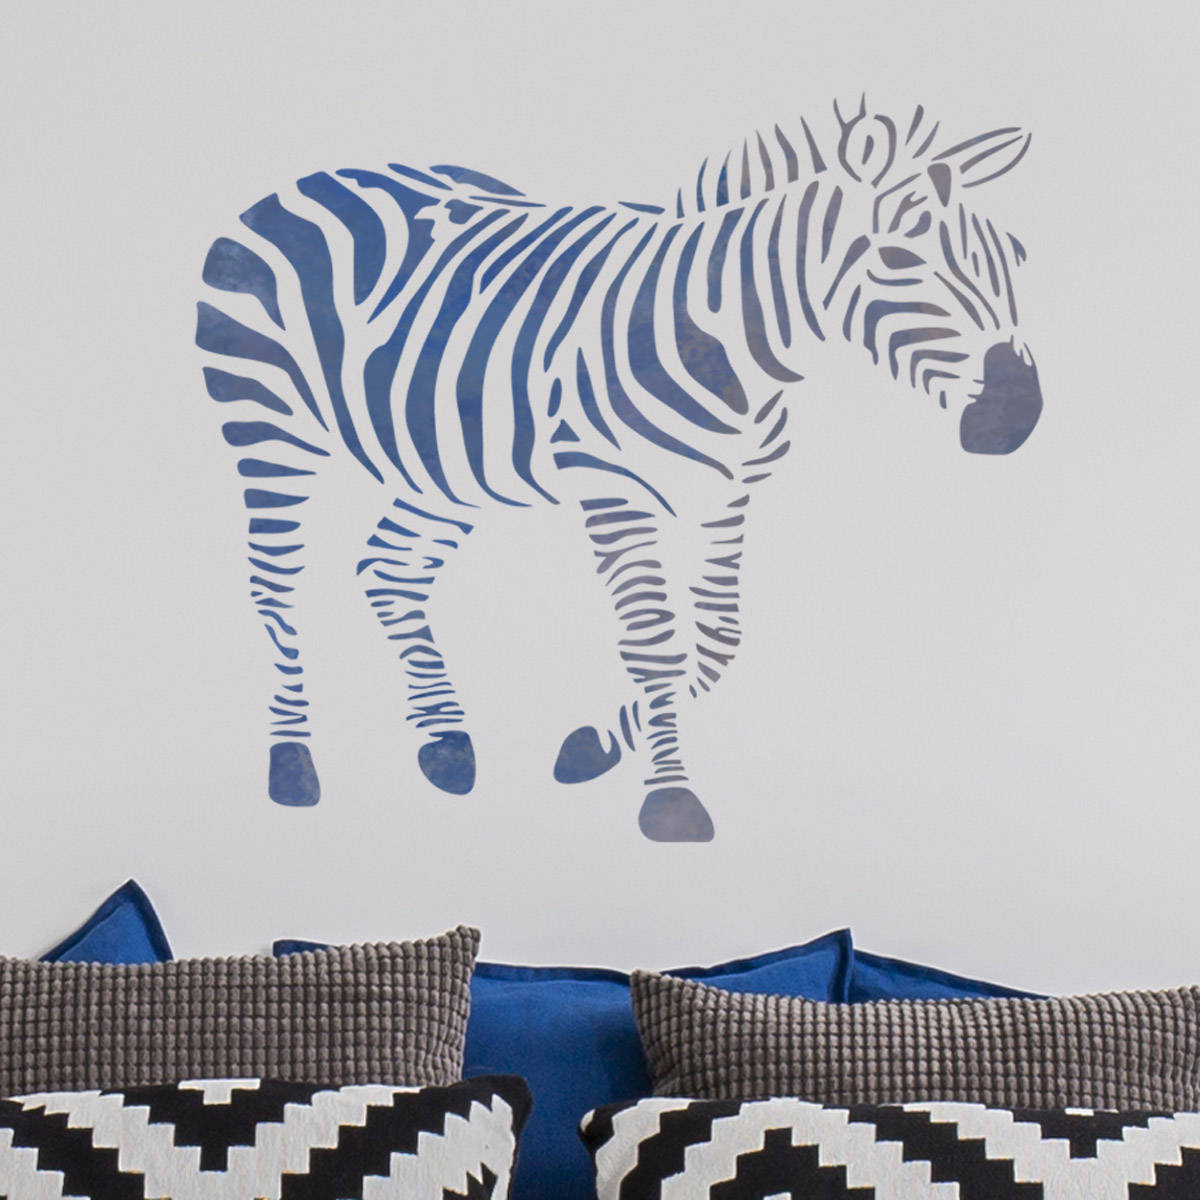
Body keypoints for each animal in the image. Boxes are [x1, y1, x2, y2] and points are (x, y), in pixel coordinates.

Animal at [195, 98, 1042, 841]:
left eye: (1015, 257)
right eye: (898, 259)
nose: (1021, 414)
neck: (729, 341)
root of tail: (306, 179)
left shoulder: (729, 492)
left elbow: (717, 639)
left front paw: (592, 748)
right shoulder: (613, 491)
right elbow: (656, 643)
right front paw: (668, 802)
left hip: (443, 457)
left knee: (390, 567)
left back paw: (445, 743)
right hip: (268, 424)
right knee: (276, 582)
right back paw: (293, 764)